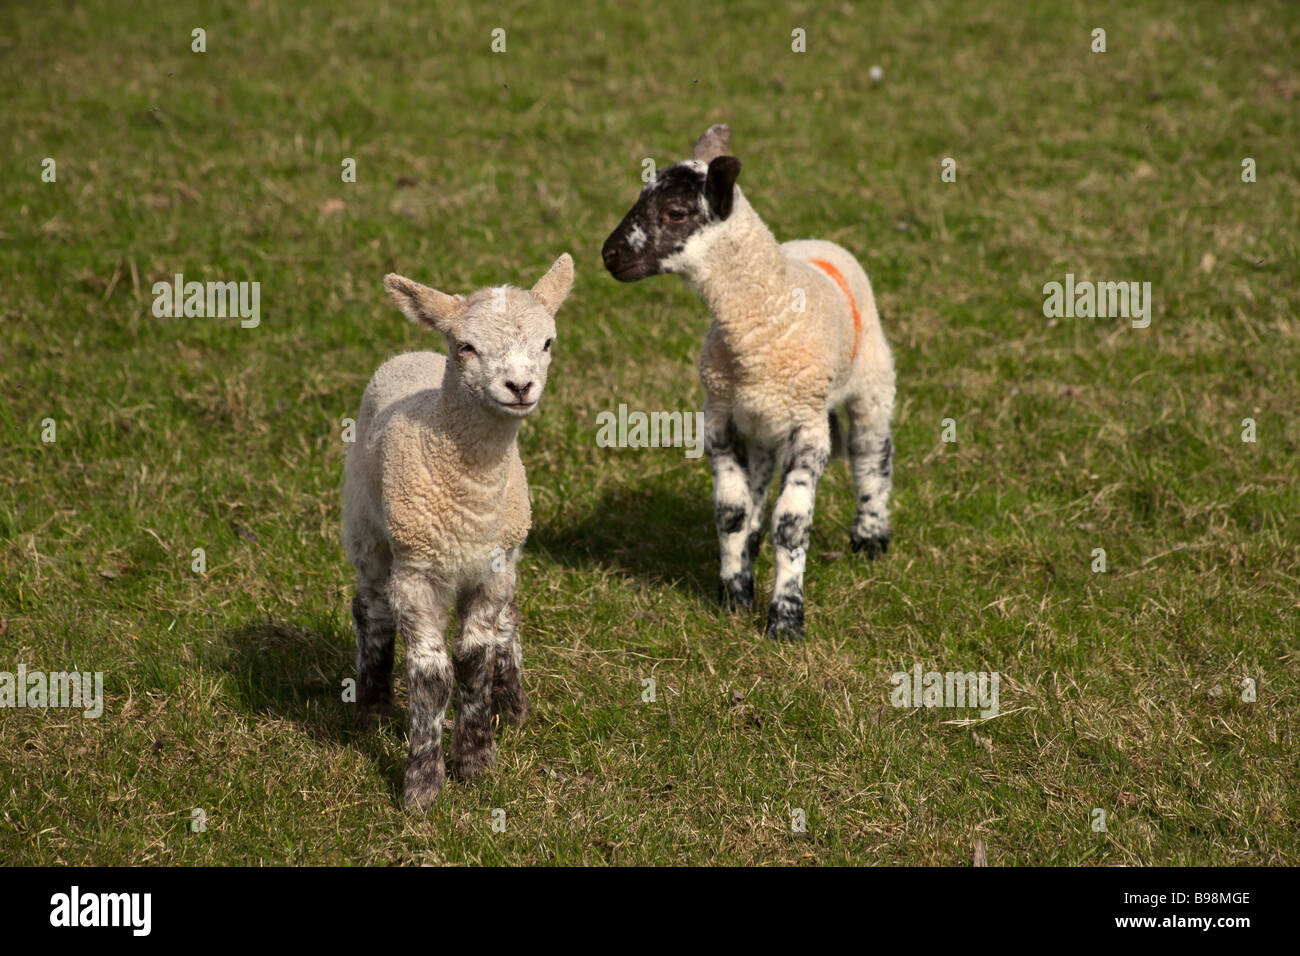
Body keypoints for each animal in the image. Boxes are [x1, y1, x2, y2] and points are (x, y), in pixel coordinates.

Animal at [342, 253, 574, 810]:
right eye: (466, 346)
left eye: (547, 343)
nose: (519, 388)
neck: (470, 495)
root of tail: (411, 353)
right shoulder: (416, 574)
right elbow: (431, 676)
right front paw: (423, 787)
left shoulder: (493, 567)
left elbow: (473, 662)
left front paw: (477, 759)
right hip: (367, 528)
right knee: (370, 607)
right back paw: (373, 704)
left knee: (508, 618)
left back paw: (512, 702)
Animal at [601, 124, 895, 641]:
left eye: (675, 213)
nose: (608, 256)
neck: (761, 320)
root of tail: (819, 241)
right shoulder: (719, 418)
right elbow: (731, 511)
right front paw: (735, 596)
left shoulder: (808, 428)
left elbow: (793, 524)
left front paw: (786, 620)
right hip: (759, 424)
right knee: (758, 483)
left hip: (870, 379)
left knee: (871, 453)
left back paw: (871, 537)